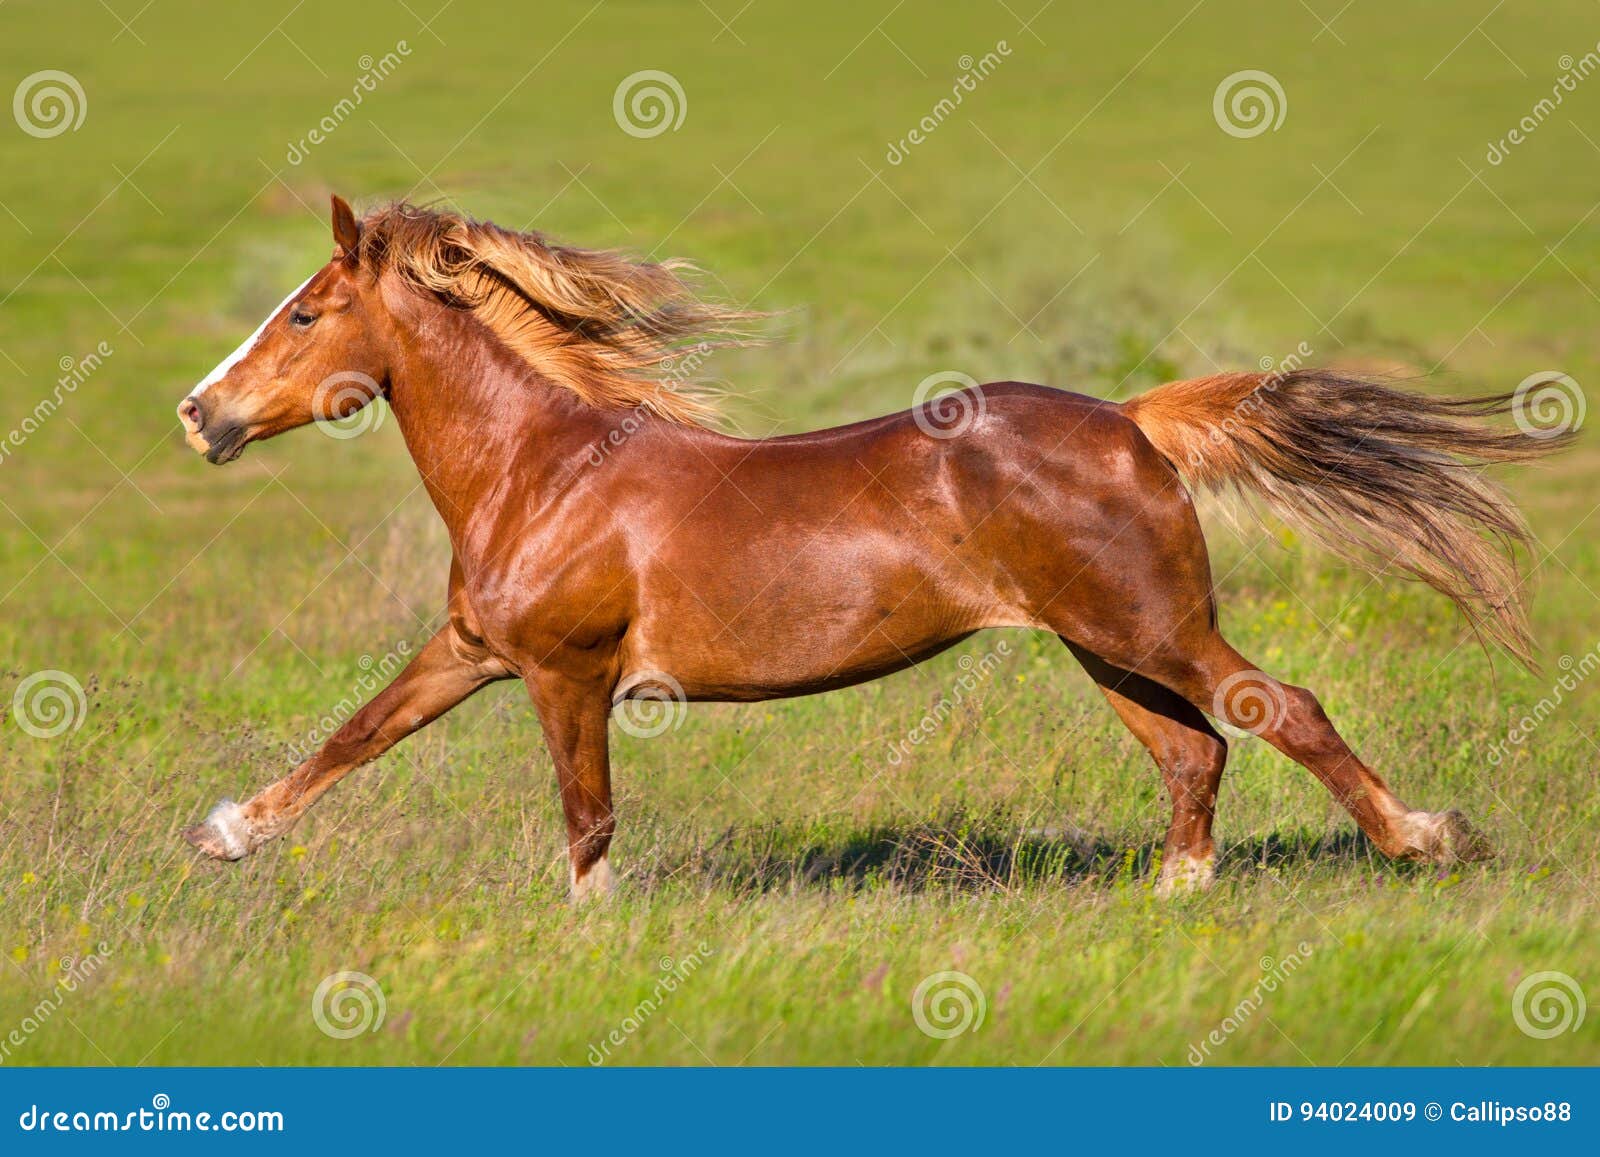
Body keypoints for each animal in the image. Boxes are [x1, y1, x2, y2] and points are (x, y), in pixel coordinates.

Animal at [175, 195, 1567, 899]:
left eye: (305, 313)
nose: (200, 413)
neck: (544, 473)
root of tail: (1130, 418)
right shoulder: (475, 646)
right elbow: (357, 733)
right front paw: (223, 834)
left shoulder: (567, 671)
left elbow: (586, 813)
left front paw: (590, 927)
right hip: (1104, 641)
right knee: (1194, 748)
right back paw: (1177, 892)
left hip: (1148, 622)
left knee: (1281, 708)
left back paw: (1421, 840)